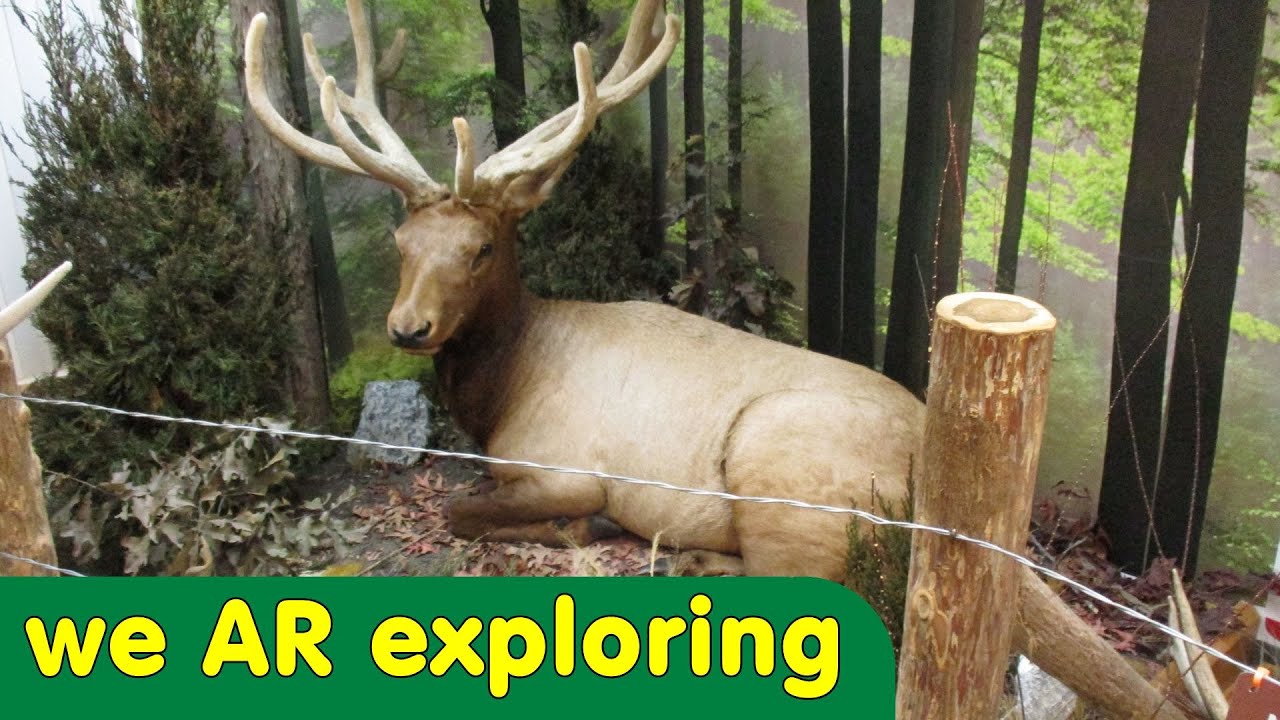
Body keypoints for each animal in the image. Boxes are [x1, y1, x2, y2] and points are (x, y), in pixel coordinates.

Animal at [244, 0, 926, 581]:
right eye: (401, 240)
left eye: (481, 248)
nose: (409, 327)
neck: (500, 396)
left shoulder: (565, 468)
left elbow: (462, 510)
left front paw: (582, 524)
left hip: (777, 465)